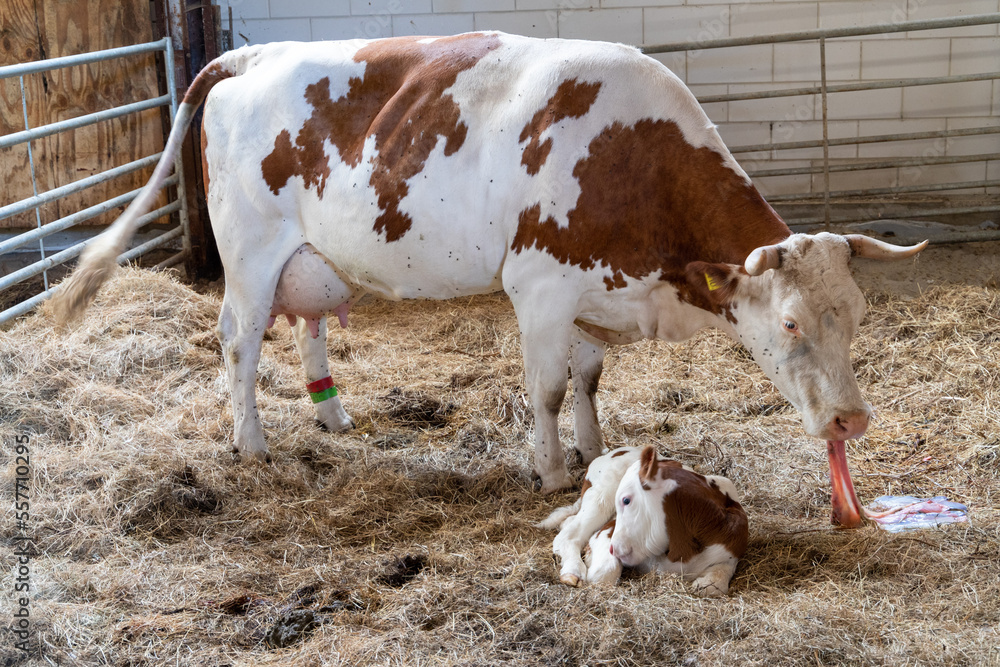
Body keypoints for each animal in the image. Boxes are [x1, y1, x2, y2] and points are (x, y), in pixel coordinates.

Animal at [51, 32, 926, 525]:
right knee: (237, 341)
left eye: (856, 314)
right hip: (253, 253)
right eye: (790, 323)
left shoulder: (587, 290)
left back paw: (331, 416)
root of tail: (250, 55)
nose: (852, 420)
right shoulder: (540, 285)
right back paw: (252, 443)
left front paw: (593, 448)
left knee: (307, 325)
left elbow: (589, 376)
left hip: (310, 256)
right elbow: (546, 385)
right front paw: (550, 468)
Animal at [537, 446, 748, 596]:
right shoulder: (610, 530)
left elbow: (713, 585)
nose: (614, 549)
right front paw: (590, 557)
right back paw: (572, 572)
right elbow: (603, 574)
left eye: (626, 500)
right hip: (602, 497)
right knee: (569, 534)